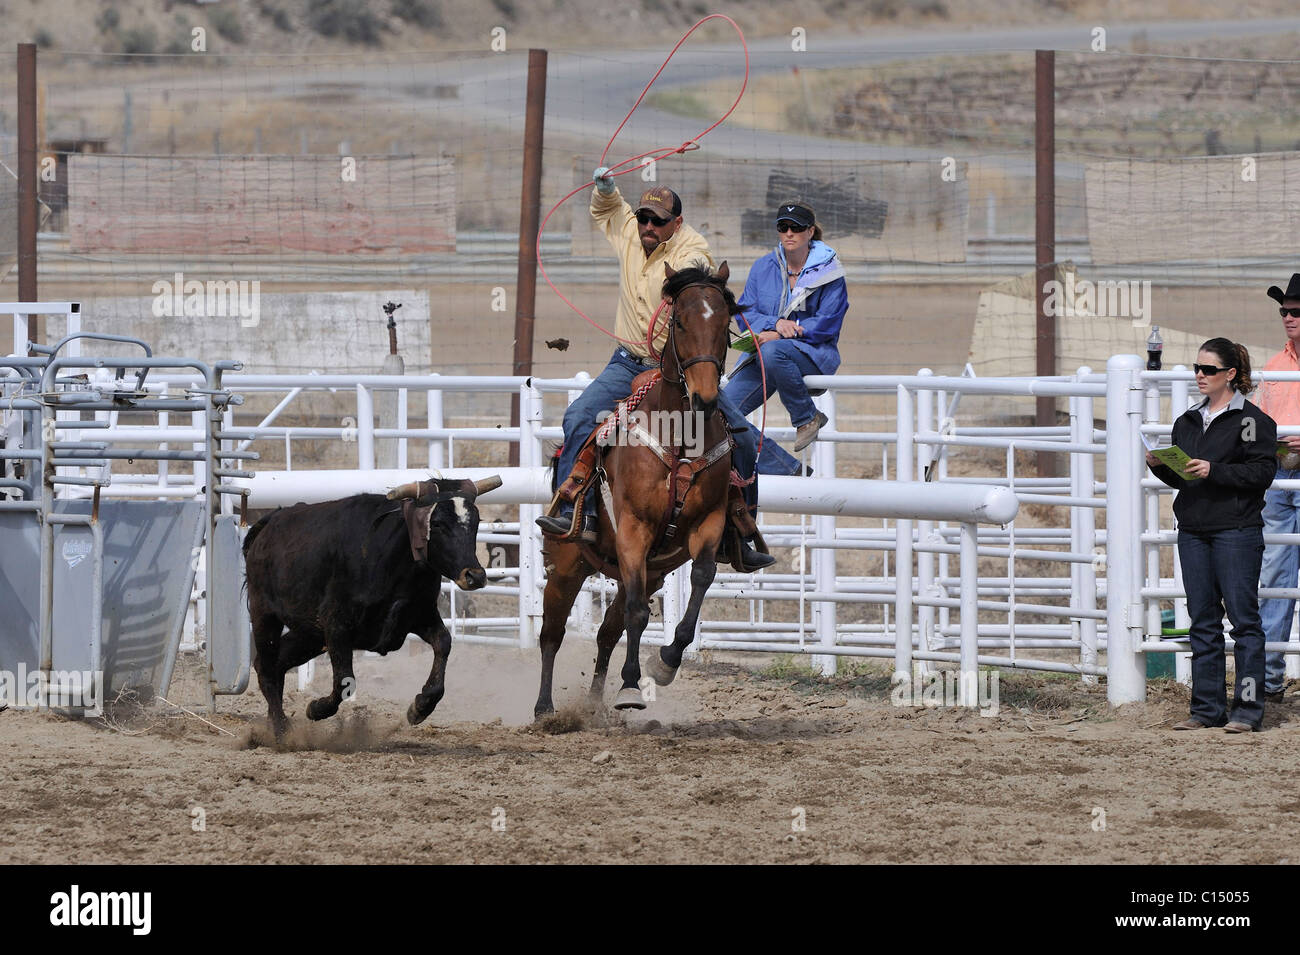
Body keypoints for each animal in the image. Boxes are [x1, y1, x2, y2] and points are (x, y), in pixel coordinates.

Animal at [243, 475, 500, 737]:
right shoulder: (336, 625)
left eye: (476, 521)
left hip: (310, 633)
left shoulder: (421, 615)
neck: (389, 557)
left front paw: (420, 706)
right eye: (437, 523)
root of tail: (270, 523)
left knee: (276, 662)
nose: (474, 576)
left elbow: (443, 643)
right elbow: (344, 680)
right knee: (266, 667)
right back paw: (281, 729)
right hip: (264, 615)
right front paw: (316, 708)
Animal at [534, 263, 740, 718]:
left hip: (647, 572)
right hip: (567, 567)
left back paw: (594, 703)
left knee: (606, 634)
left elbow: (700, 579)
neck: (679, 436)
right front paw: (630, 686)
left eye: (725, 323)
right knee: (551, 634)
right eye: (679, 322)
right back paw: (544, 708)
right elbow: (636, 616)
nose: (704, 398)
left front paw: (665, 663)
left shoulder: (709, 522)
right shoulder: (633, 528)